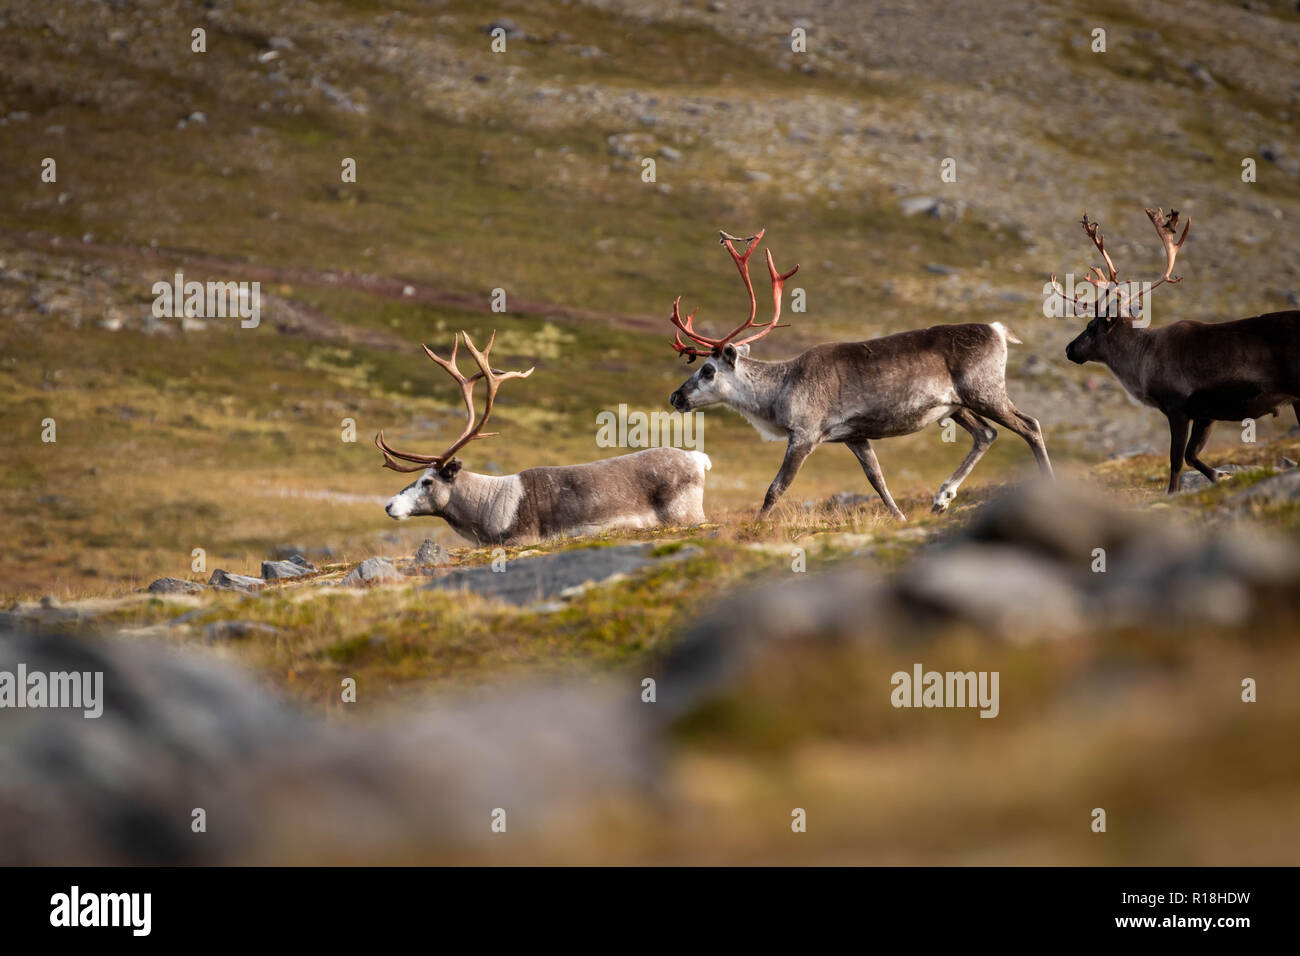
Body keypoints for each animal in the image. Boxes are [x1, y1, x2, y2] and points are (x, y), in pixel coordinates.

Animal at [376, 331, 711, 544]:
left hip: (686, 514)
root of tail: (697, 458)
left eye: (427, 482)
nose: (389, 505)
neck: (489, 504)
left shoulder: (522, 538)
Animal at [666, 229, 1054, 520]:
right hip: (956, 405)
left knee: (1029, 425)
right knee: (986, 434)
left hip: (984, 391)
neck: (778, 391)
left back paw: (1048, 479)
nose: (676, 396)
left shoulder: (804, 435)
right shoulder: (855, 435)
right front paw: (898, 516)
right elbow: (876, 479)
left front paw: (756, 526)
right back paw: (942, 497)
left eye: (708, 370)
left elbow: (776, 488)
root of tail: (998, 330)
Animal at [1057, 206, 1300, 493]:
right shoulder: (1206, 414)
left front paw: (1173, 493)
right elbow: (1192, 455)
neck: (1142, 358)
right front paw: (1221, 475)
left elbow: (1176, 459)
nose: (1069, 348)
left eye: (1091, 326)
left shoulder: (1178, 408)